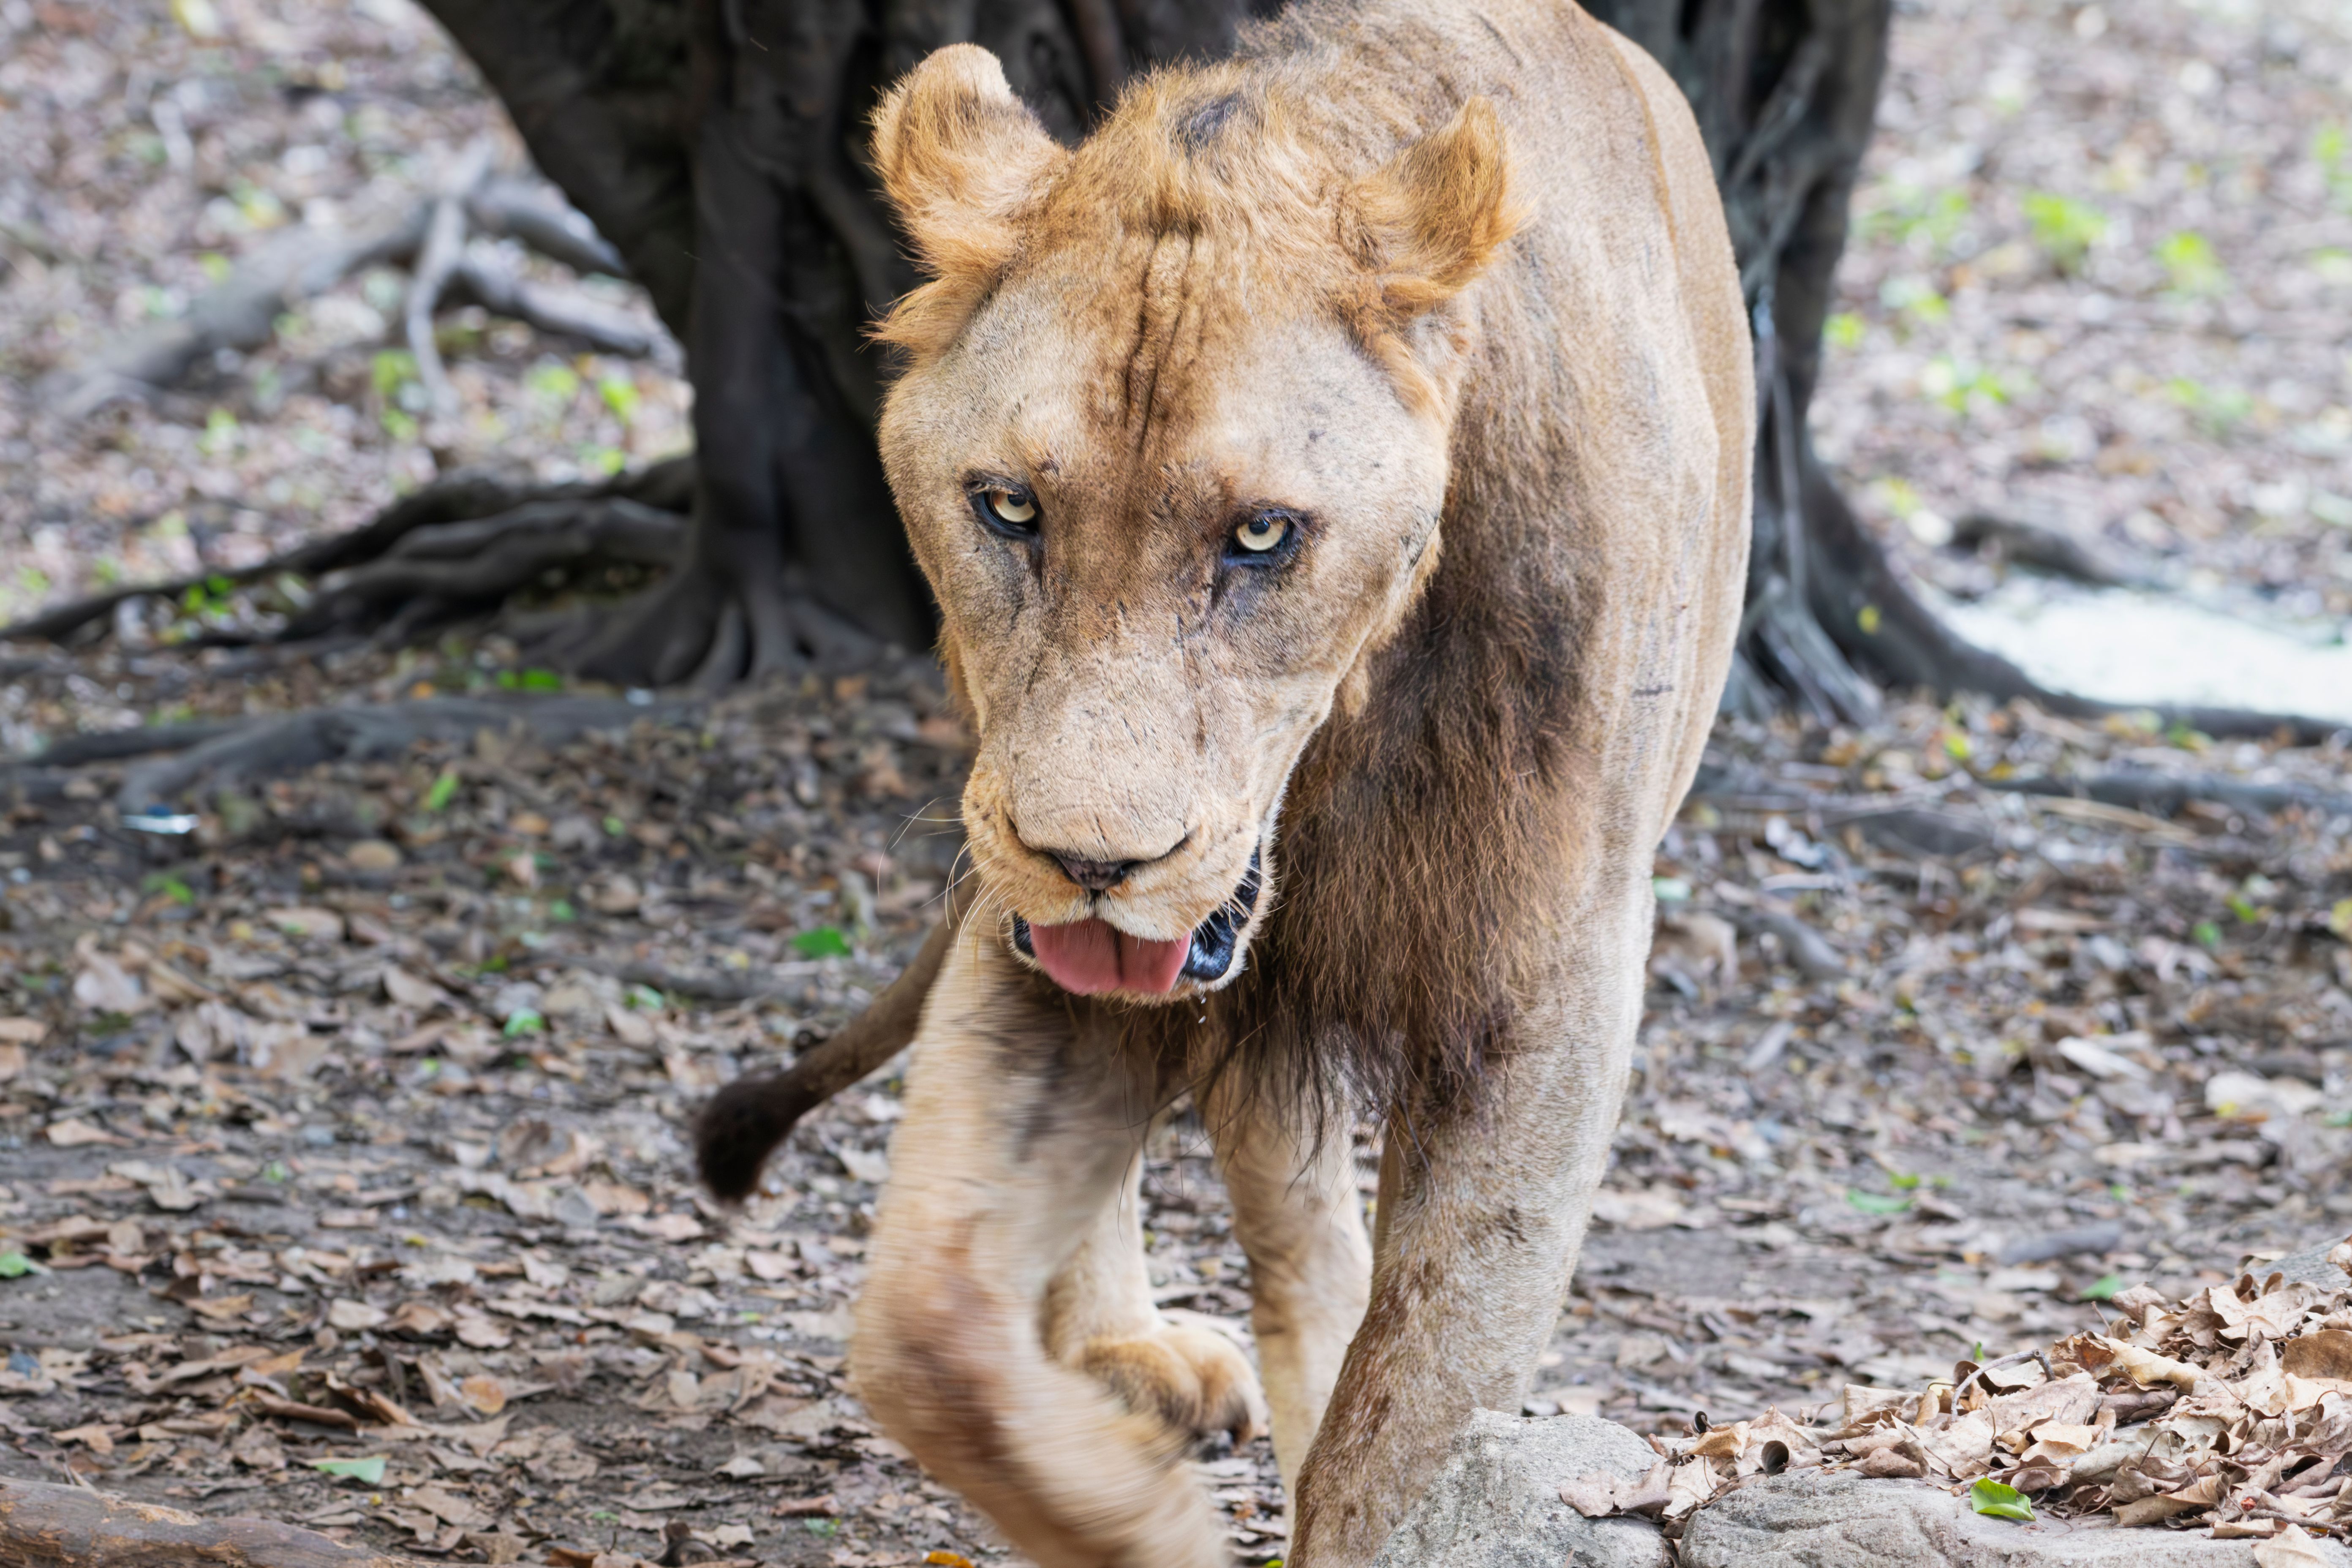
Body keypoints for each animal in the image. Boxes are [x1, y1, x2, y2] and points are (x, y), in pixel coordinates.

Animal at [700, 0, 1751, 1559]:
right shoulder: (1031, 915)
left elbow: (1411, 1418)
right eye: (1008, 507)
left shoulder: (1549, 975)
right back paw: (1132, 1357)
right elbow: (927, 1335)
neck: (1334, 756)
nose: (1092, 859)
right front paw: (1143, 1516)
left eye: (1262, 535)